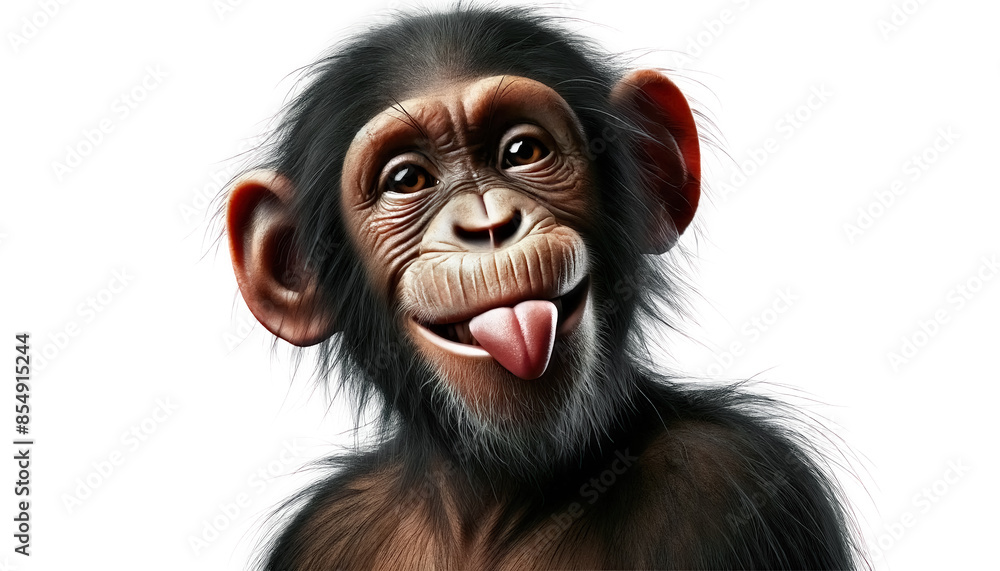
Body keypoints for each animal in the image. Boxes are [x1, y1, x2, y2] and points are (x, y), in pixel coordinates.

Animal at [225, 6, 865, 570]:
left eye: (522, 151)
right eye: (407, 180)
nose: (487, 225)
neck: (499, 506)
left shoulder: (738, 481)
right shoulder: (323, 529)